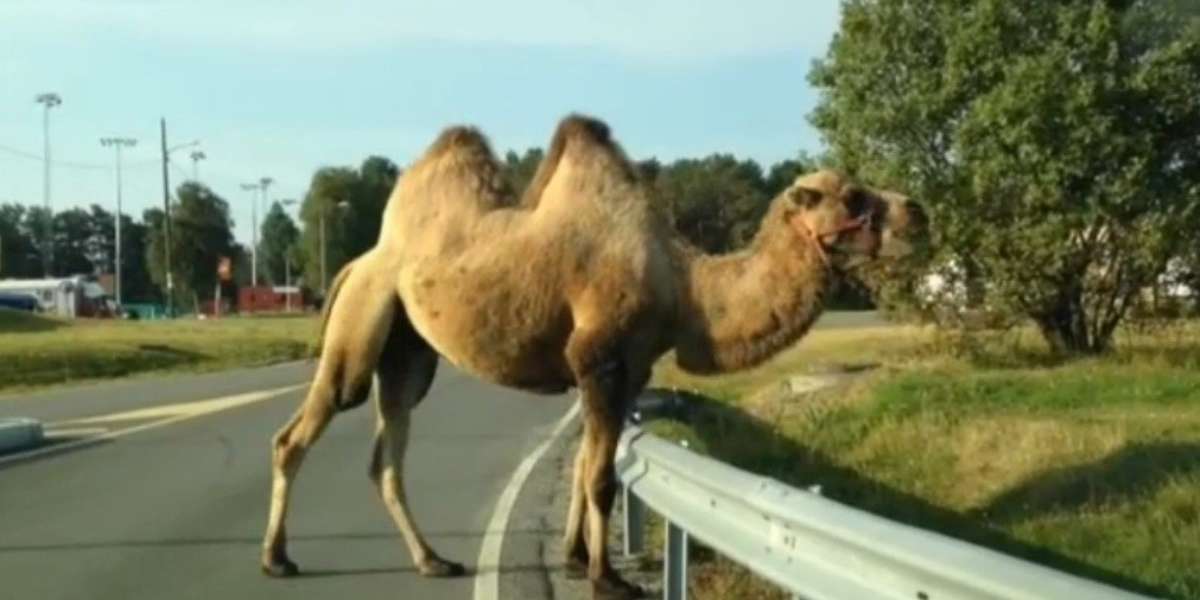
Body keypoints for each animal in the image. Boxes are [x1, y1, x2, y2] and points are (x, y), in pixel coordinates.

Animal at [259, 114, 925, 599]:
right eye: (852, 196)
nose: (916, 210)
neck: (685, 288)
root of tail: (354, 263)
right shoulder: (600, 357)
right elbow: (602, 475)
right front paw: (608, 577)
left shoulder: (629, 367)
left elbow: (585, 466)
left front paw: (577, 558)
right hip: (362, 317)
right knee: (303, 429)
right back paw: (277, 559)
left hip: (409, 352)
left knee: (387, 451)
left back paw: (432, 560)